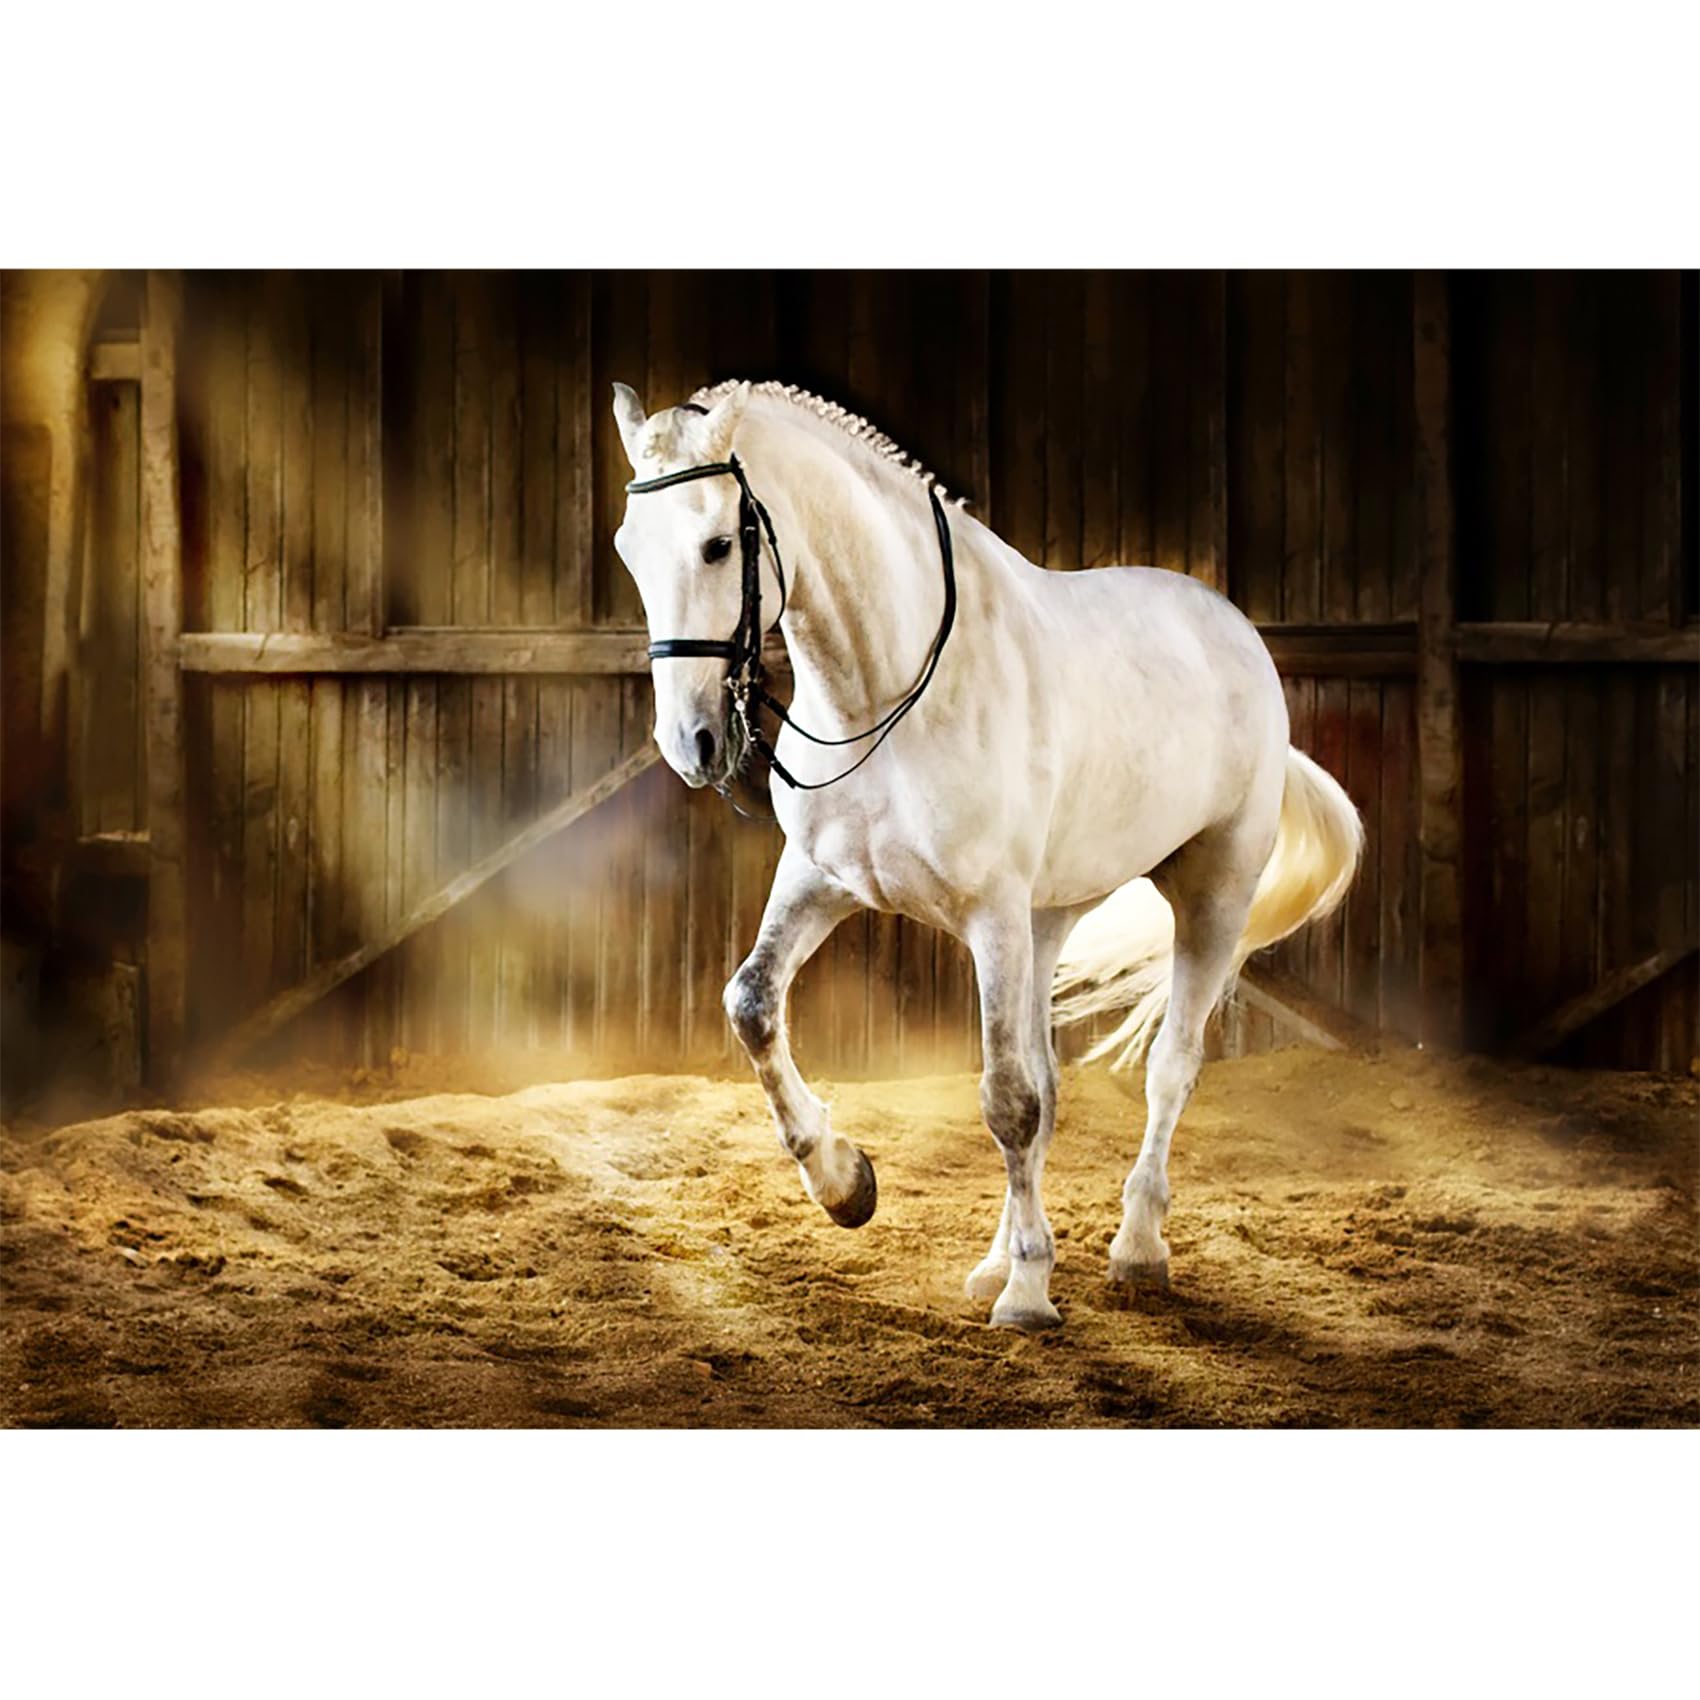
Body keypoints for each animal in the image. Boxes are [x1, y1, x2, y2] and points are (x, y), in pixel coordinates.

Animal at [611, 378, 1362, 1331]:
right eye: (630, 551)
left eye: (716, 545)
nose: (691, 745)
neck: (887, 694)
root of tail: (1235, 628)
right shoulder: (822, 881)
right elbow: (751, 1004)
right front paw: (846, 1185)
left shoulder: (991, 917)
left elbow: (1008, 1102)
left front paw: (1030, 1296)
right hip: (1050, 919)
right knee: (1049, 1080)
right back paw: (996, 1258)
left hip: (1210, 892)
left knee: (1170, 1068)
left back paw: (1135, 1248)